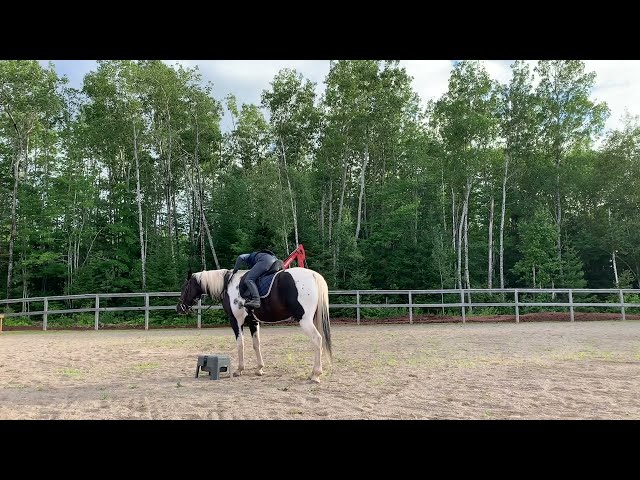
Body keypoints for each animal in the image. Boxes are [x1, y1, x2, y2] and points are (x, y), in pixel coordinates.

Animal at [176, 267, 332, 383]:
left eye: (185, 287)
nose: (179, 308)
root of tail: (314, 275)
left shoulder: (236, 321)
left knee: (317, 340)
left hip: (305, 320)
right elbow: (256, 344)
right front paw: (259, 369)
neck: (228, 285)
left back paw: (315, 374)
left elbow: (240, 344)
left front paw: (239, 369)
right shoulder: (253, 322)